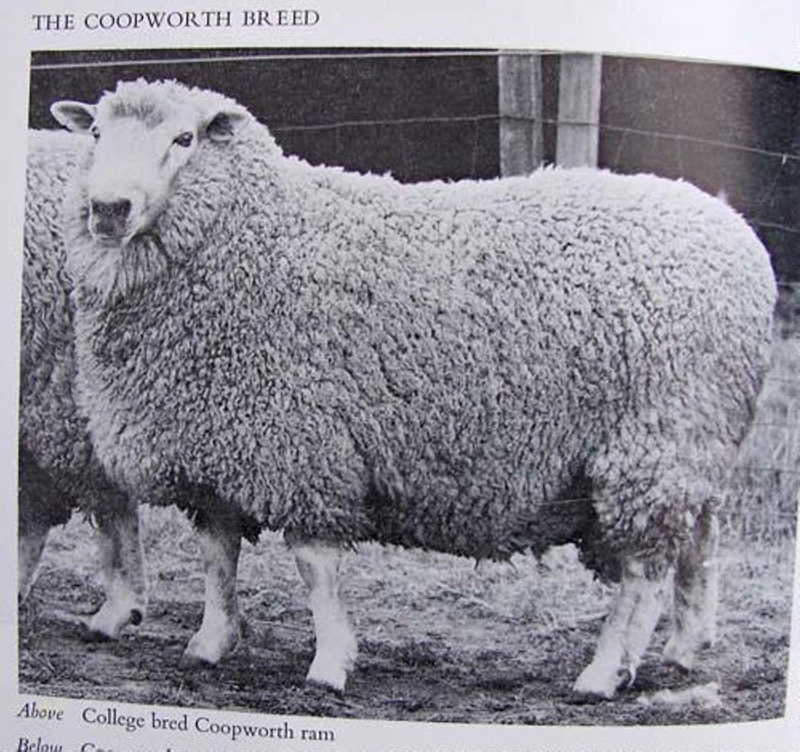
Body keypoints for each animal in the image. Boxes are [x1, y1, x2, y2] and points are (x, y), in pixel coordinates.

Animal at [51, 78, 776, 698]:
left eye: (184, 139)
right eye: (96, 135)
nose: (108, 209)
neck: (252, 235)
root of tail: (739, 236)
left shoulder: (304, 444)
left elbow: (314, 567)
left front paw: (330, 664)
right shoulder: (217, 445)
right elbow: (217, 555)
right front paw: (210, 643)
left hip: (654, 445)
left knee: (644, 571)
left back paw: (605, 672)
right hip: (693, 443)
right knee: (699, 545)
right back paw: (684, 650)